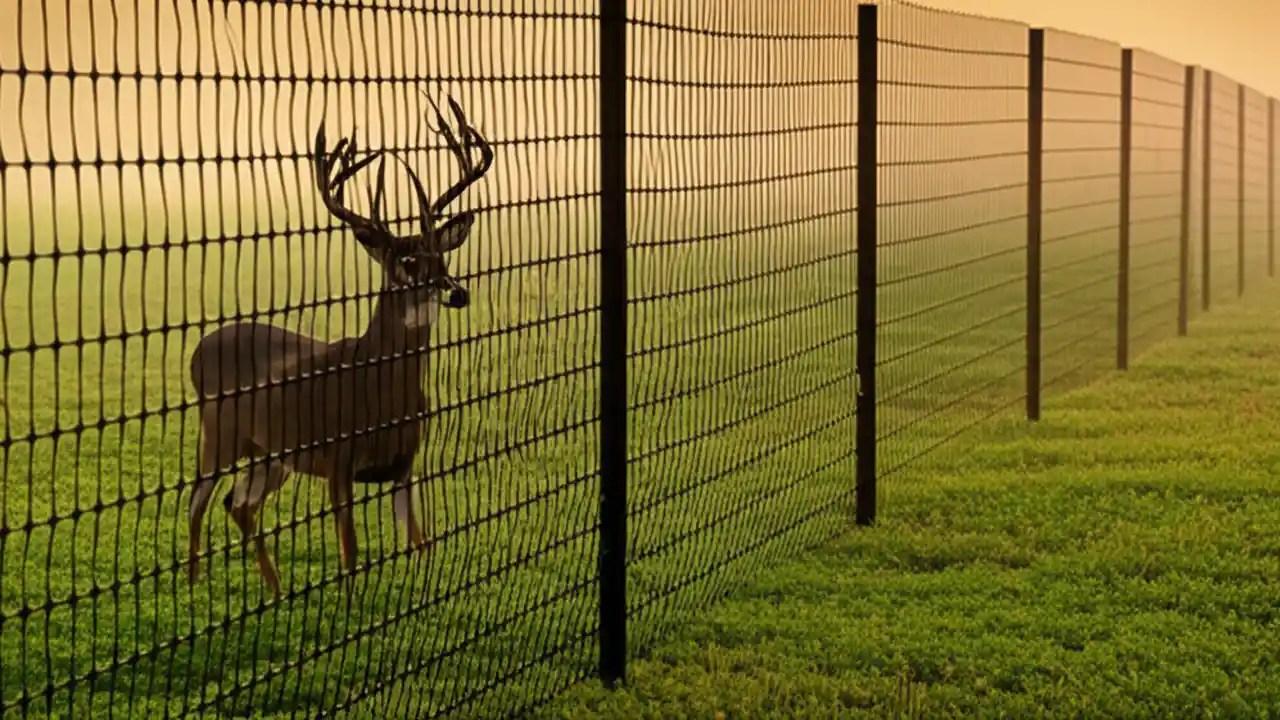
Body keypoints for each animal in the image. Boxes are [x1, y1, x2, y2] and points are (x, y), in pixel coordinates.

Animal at [185, 97, 493, 596]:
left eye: (443, 259)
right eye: (406, 261)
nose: (457, 292)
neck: (381, 389)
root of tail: (199, 347)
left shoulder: (405, 463)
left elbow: (421, 545)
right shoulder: (338, 459)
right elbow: (350, 557)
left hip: (272, 454)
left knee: (239, 502)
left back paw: (276, 590)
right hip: (219, 432)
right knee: (198, 498)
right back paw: (194, 587)